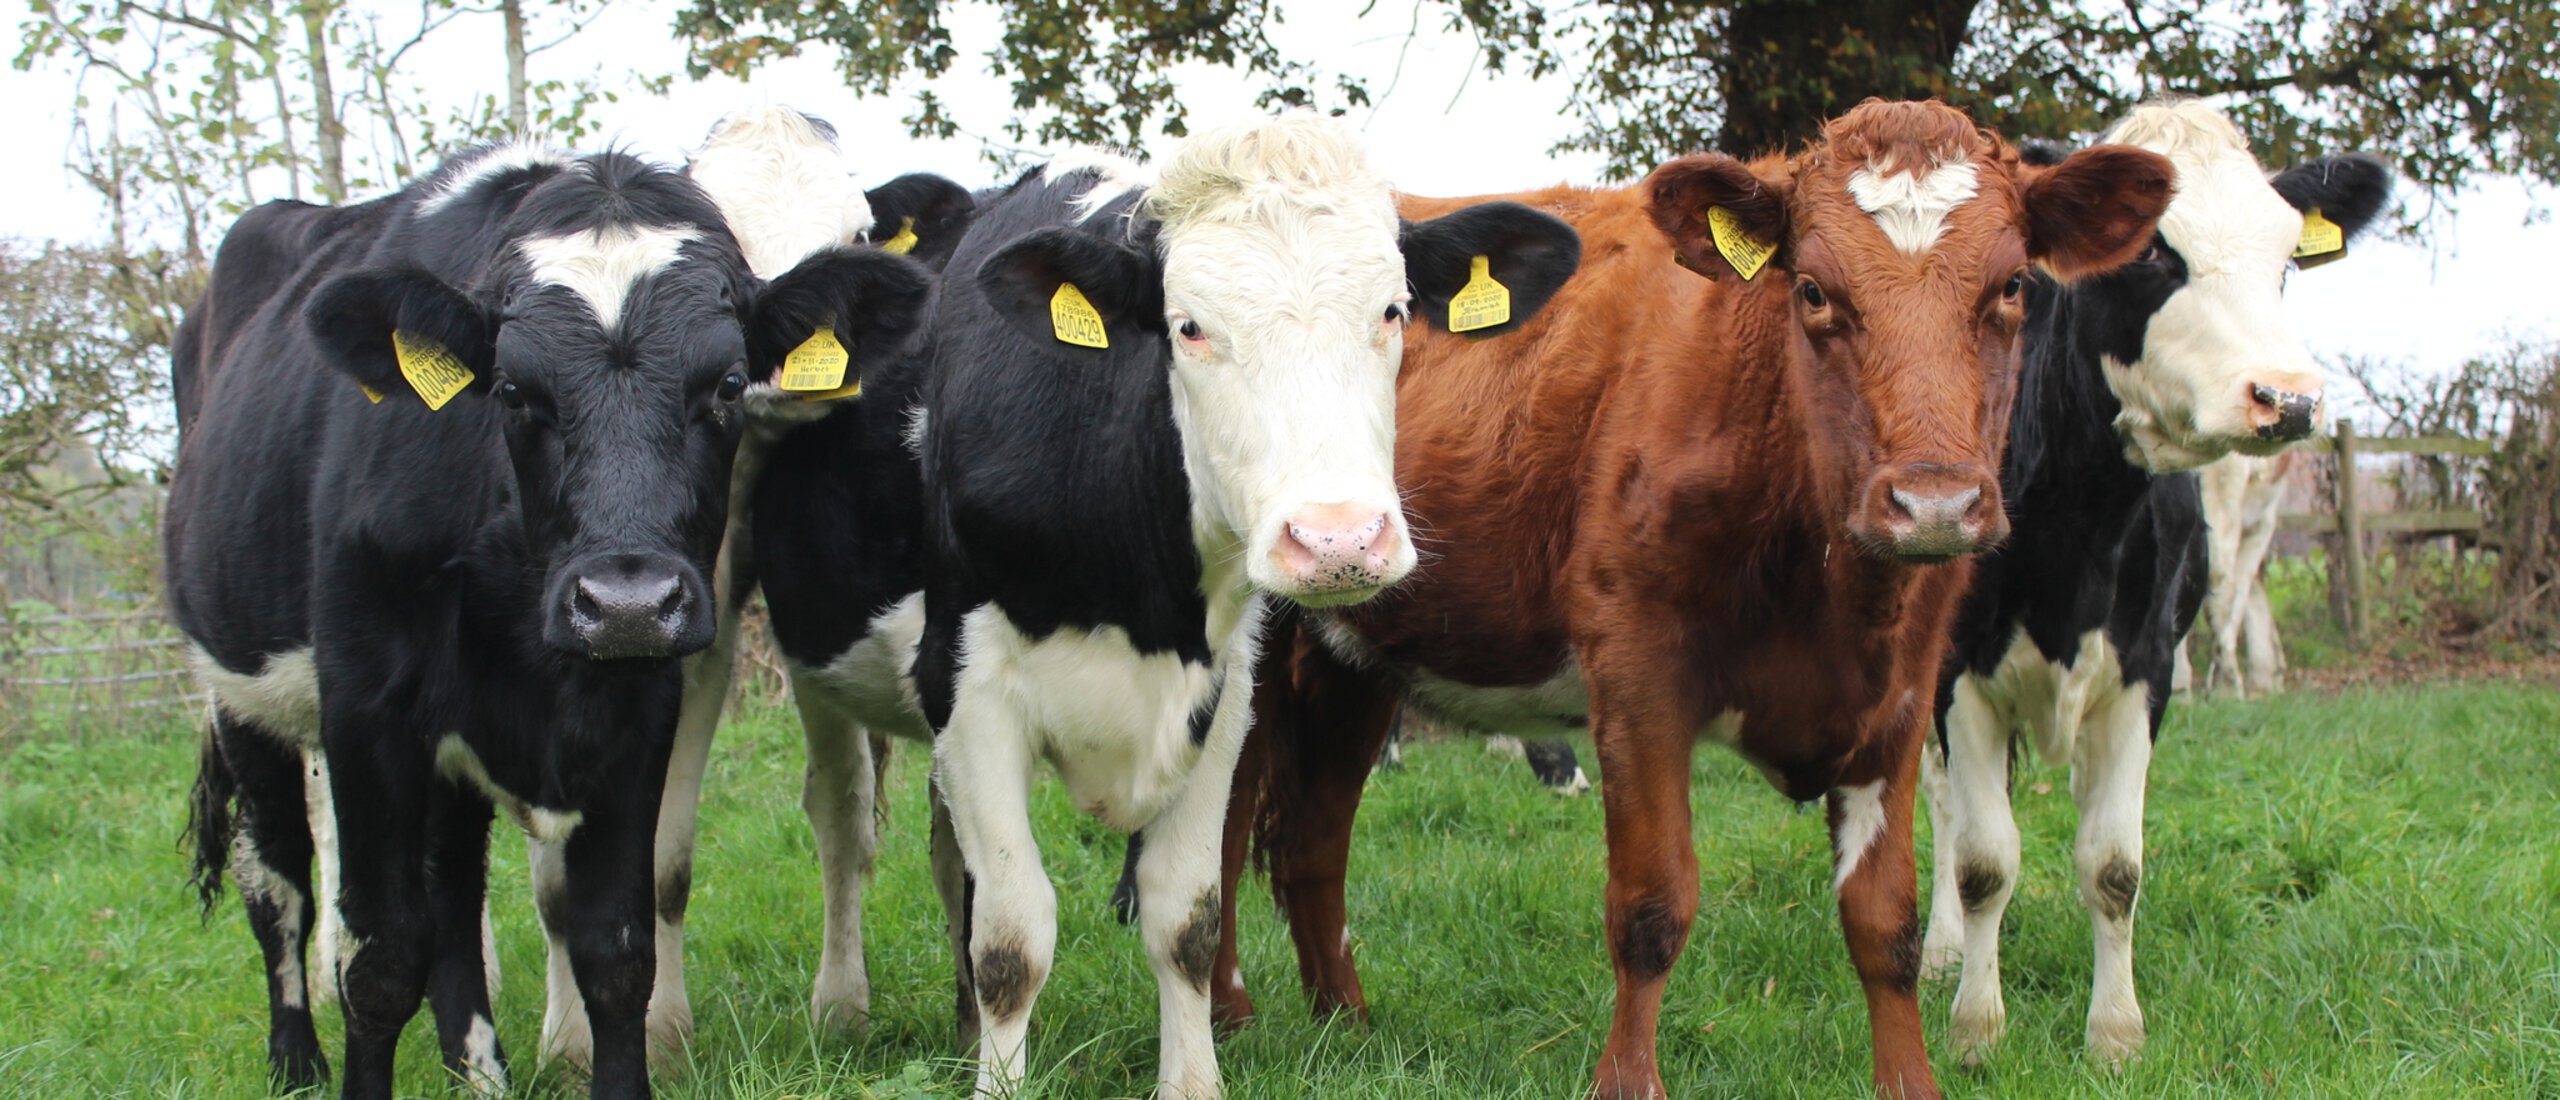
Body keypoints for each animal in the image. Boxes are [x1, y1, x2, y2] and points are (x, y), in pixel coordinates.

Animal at [168, 141, 934, 1099]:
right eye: (508, 388)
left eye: (723, 382)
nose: (626, 602)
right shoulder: (368, 714)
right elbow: (379, 957)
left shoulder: (640, 707)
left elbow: (617, 942)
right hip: (242, 701)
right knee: (278, 882)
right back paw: (297, 1060)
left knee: (452, 889)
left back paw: (478, 1068)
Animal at [909, 113, 1579, 1098]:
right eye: (1188, 327)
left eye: (1392, 310)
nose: (1339, 540)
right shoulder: (967, 693)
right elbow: (1009, 937)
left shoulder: (1225, 695)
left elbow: (1187, 918)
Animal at [1210, 100, 2178, 1100]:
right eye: (1815, 291)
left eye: (2015, 285)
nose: (1936, 502)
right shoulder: (1637, 677)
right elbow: (1652, 904)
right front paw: (1627, 1081)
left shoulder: (1906, 694)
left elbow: (1888, 920)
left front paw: (1912, 1079)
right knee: (1226, 828)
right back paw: (1232, 1011)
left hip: (1350, 655)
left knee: (1313, 835)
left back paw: (1347, 1023)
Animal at [1920, 99, 2391, 1065]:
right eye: (2148, 254)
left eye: (2288, 260)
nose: (2288, 398)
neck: (2077, 521)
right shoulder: (1958, 677)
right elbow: (1983, 861)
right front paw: (1977, 1029)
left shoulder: (2146, 669)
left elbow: (2113, 863)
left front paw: (2114, 1034)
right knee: (1945, 809)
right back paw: (1942, 952)